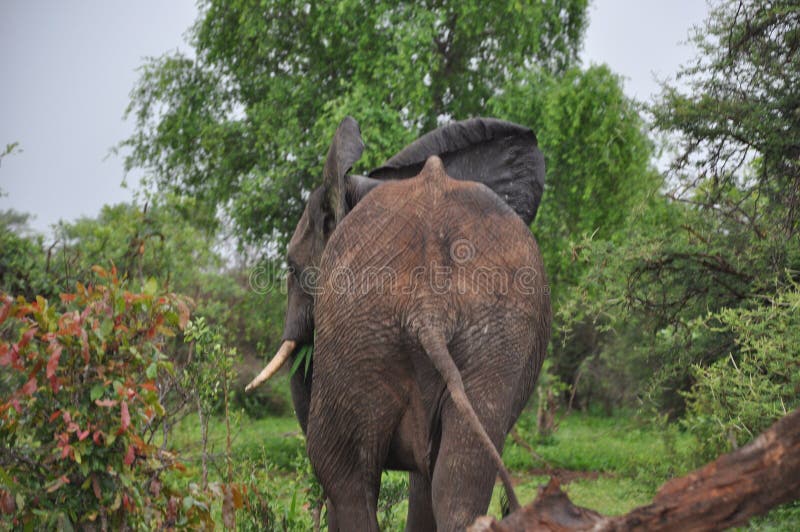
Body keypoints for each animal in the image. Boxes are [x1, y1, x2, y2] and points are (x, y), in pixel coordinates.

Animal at [246, 116, 550, 531]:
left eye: (292, 267)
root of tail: (428, 305)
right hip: (494, 338)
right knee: (457, 485)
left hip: (359, 332)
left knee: (341, 472)